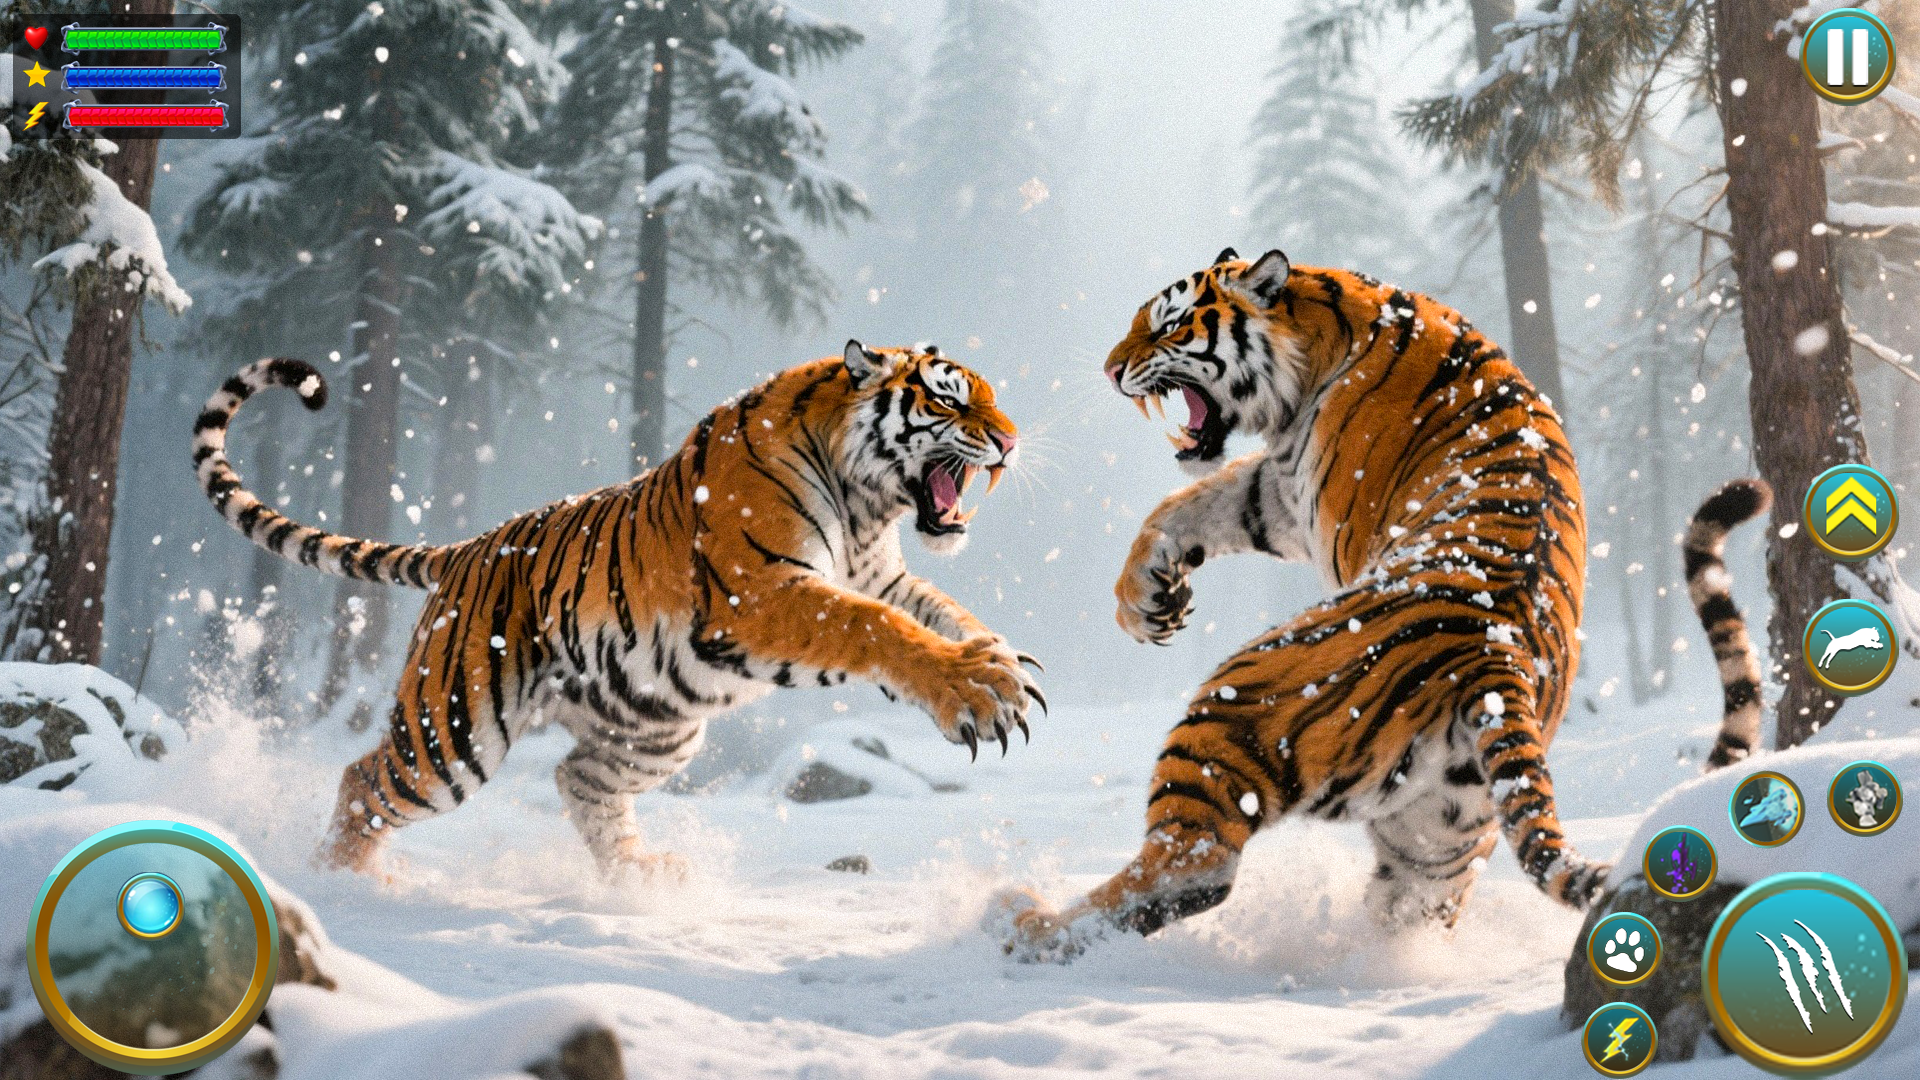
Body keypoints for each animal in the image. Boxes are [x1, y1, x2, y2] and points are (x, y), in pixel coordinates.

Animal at [193, 342, 1044, 879]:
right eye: (951, 400)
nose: (1011, 442)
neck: (868, 502)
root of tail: (463, 550)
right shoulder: (763, 592)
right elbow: (875, 627)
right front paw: (971, 690)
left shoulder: (881, 576)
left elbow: (940, 612)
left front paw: (998, 668)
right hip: (455, 729)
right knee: (364, 781)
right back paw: (341, 879)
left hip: (658, 725)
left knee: (579, 779)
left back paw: (642, 875)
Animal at [998, 249, 1767, 960]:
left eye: (1165, 325)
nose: (1108, 370)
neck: (1318, 335)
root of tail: (1494, 659)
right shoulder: (1276, 494)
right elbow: (1189, 503)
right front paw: (1147, 598)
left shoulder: (1314, 507)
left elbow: (1197, 496)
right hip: (1441, 833)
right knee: (1411, 912)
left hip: (1239, 704)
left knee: (1193, 866)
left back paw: (1021, 922)